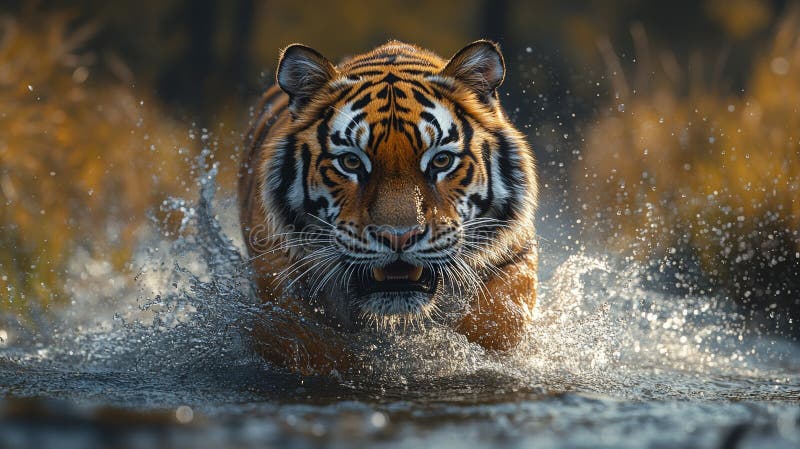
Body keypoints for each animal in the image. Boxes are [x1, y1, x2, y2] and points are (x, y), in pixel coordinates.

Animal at [239, 40, 539, 375]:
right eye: (351, 162)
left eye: (441, 160)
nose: (399, 237)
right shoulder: (280, 269)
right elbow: (305, 341)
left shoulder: (512, 256)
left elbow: (495, 322)